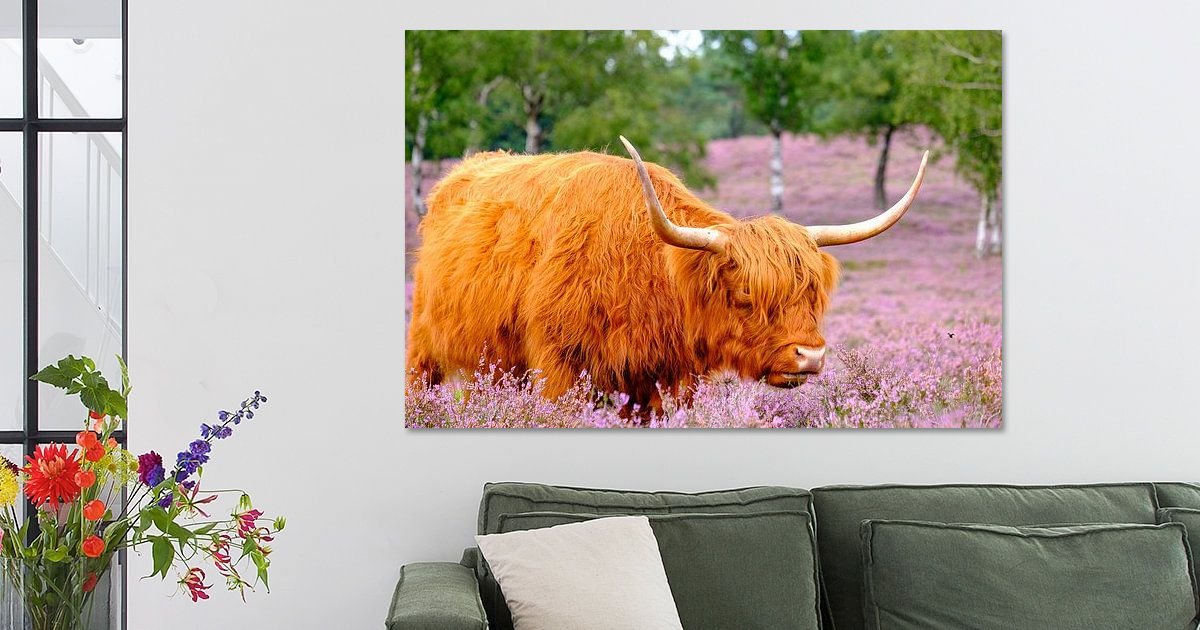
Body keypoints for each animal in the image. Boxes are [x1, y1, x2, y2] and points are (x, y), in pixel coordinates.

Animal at [406, 136, 927, 412]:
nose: (810, 357)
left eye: (814, 295)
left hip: (500, 365)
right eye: (745, 292)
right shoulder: (557, 365)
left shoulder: (666, 380)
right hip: (424, 346)